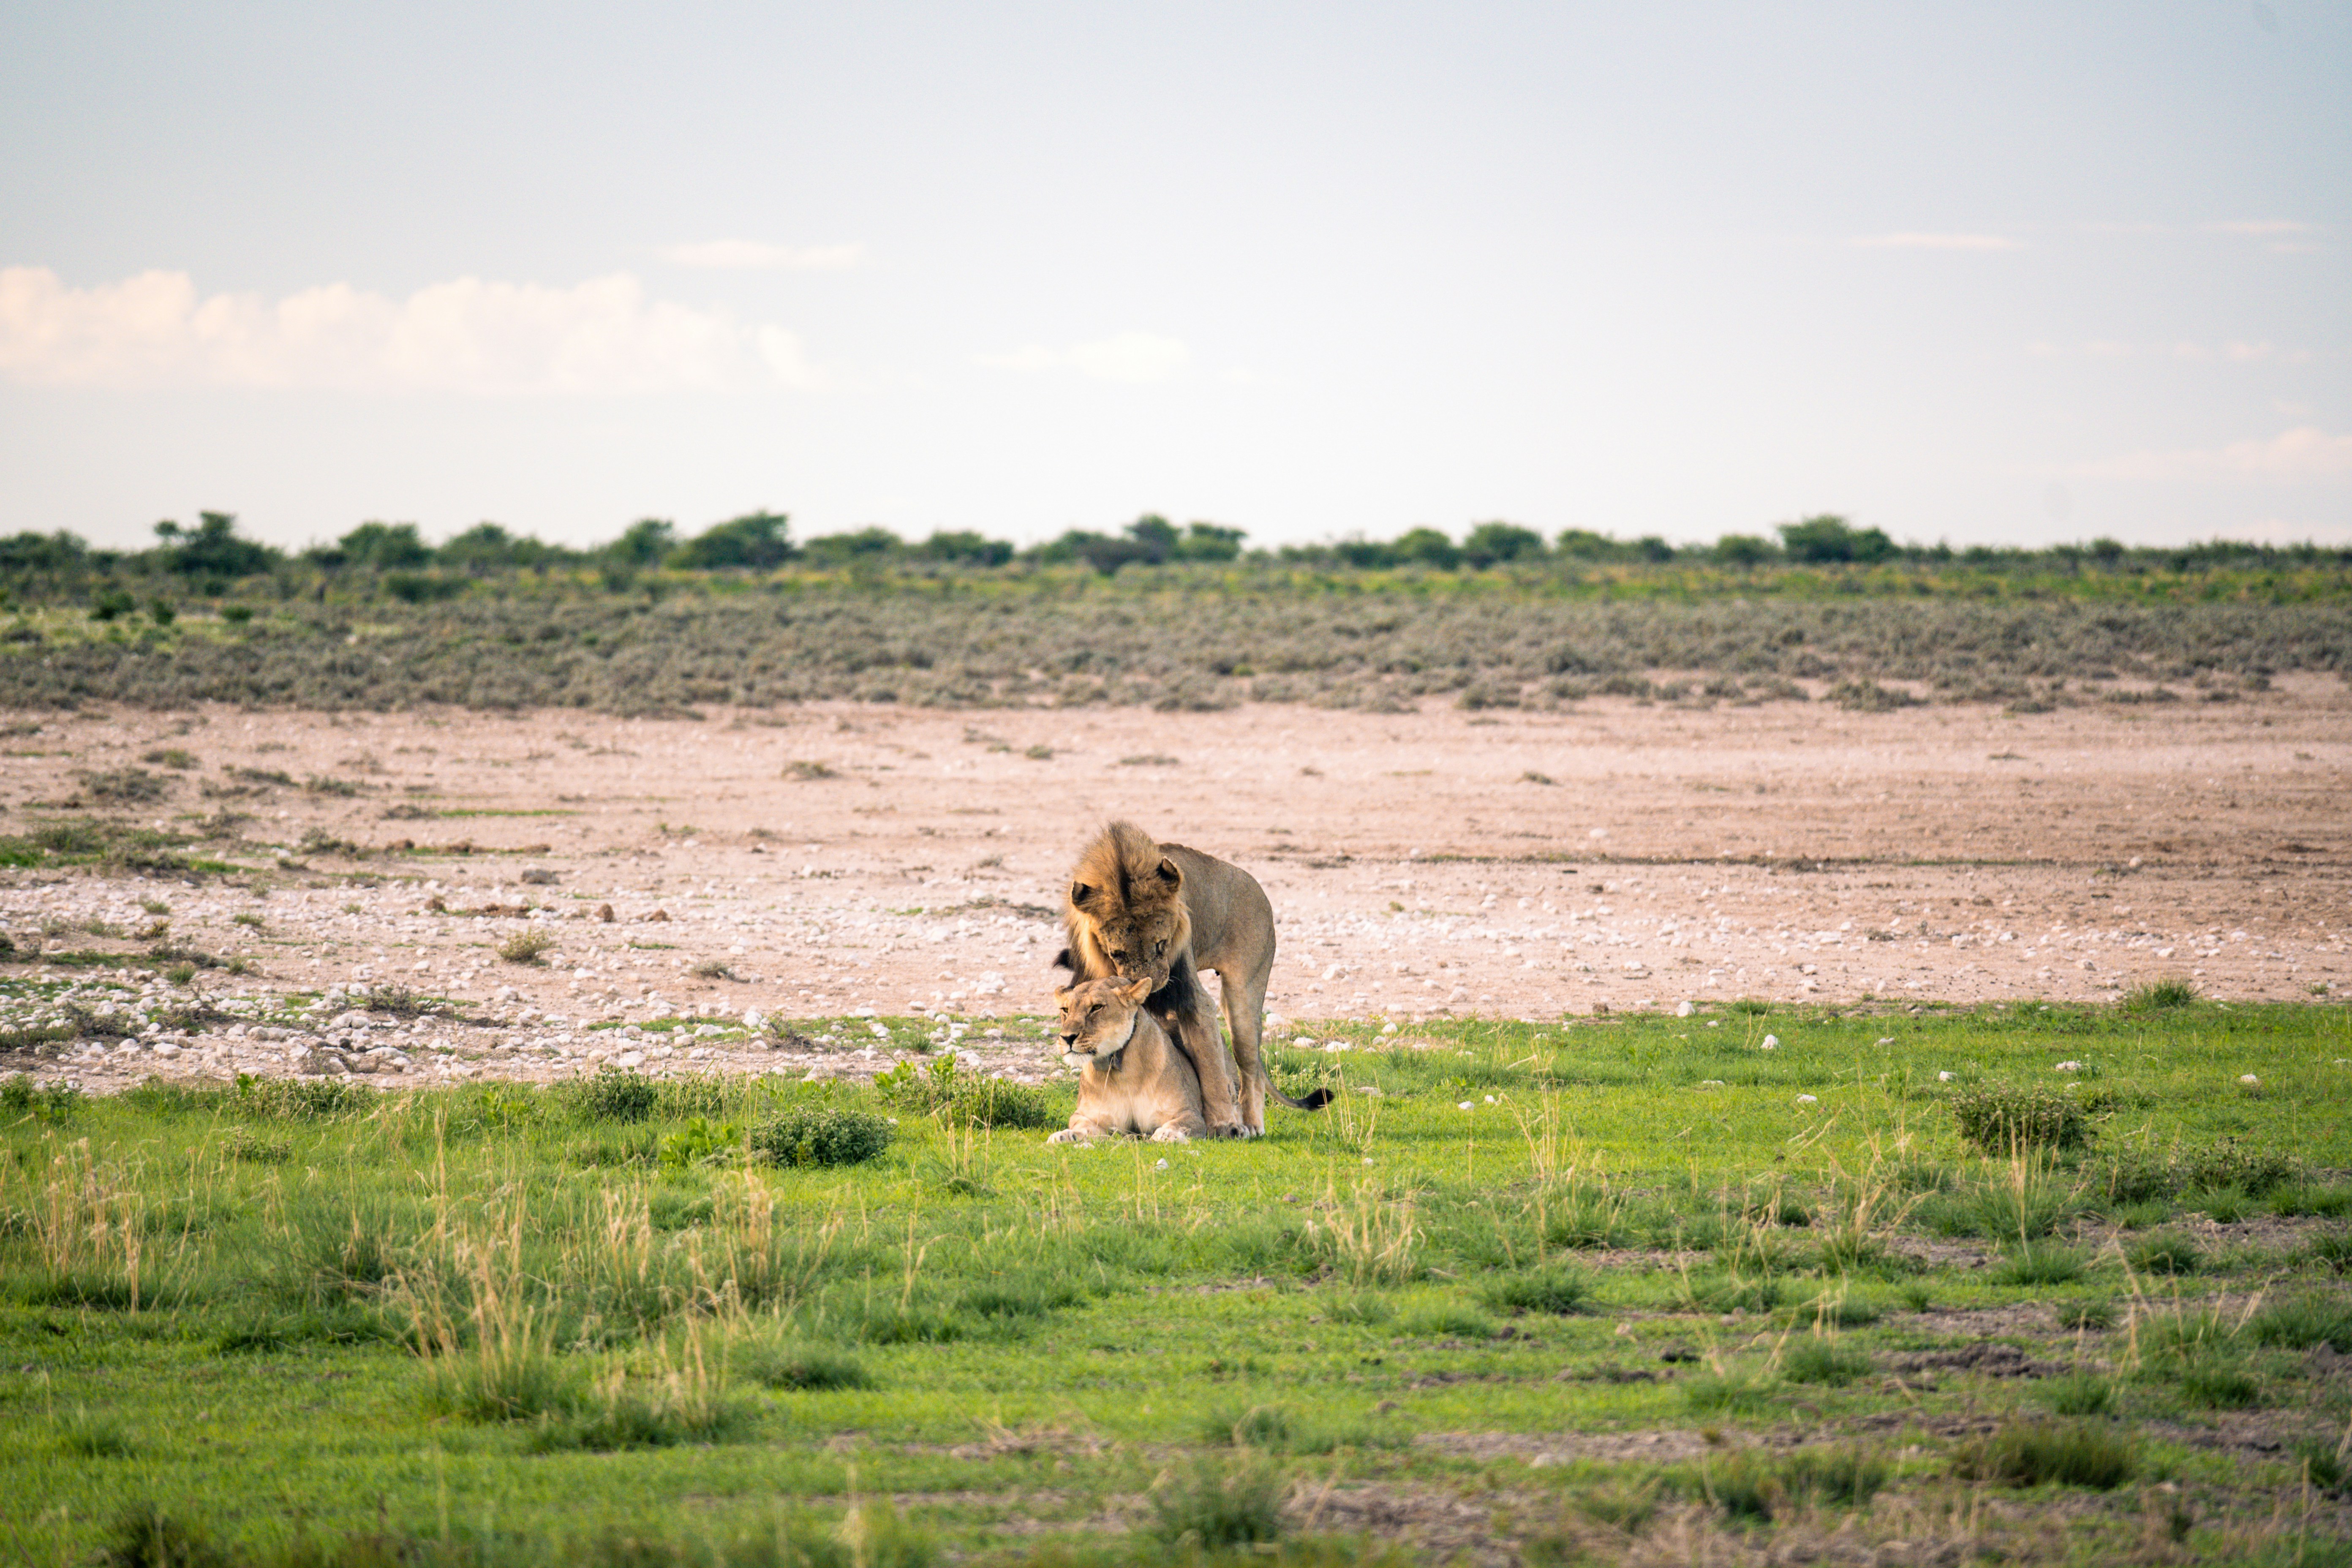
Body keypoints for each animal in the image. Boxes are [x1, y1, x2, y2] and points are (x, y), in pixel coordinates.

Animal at [1047, 975, 1207, 1144]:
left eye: (1097, 1007)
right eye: (1066, 1010)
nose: (1067, 1038)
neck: (1123, 1075)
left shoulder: (1189, 1113)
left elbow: (1179, 1124)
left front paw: (1168, 1134)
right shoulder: (1087, 1115)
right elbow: (1082, 1127)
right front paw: (1064, 1136)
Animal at [1057, 821, 1329, 1137]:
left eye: (1162, 944)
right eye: (1118, 953)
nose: (1150, 987)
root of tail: (1254, 885)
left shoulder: (1191, 996)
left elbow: (1208, 1063)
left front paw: (1223, 1124)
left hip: (1243, 995)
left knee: (1250, 1068)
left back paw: (1251, 1124)